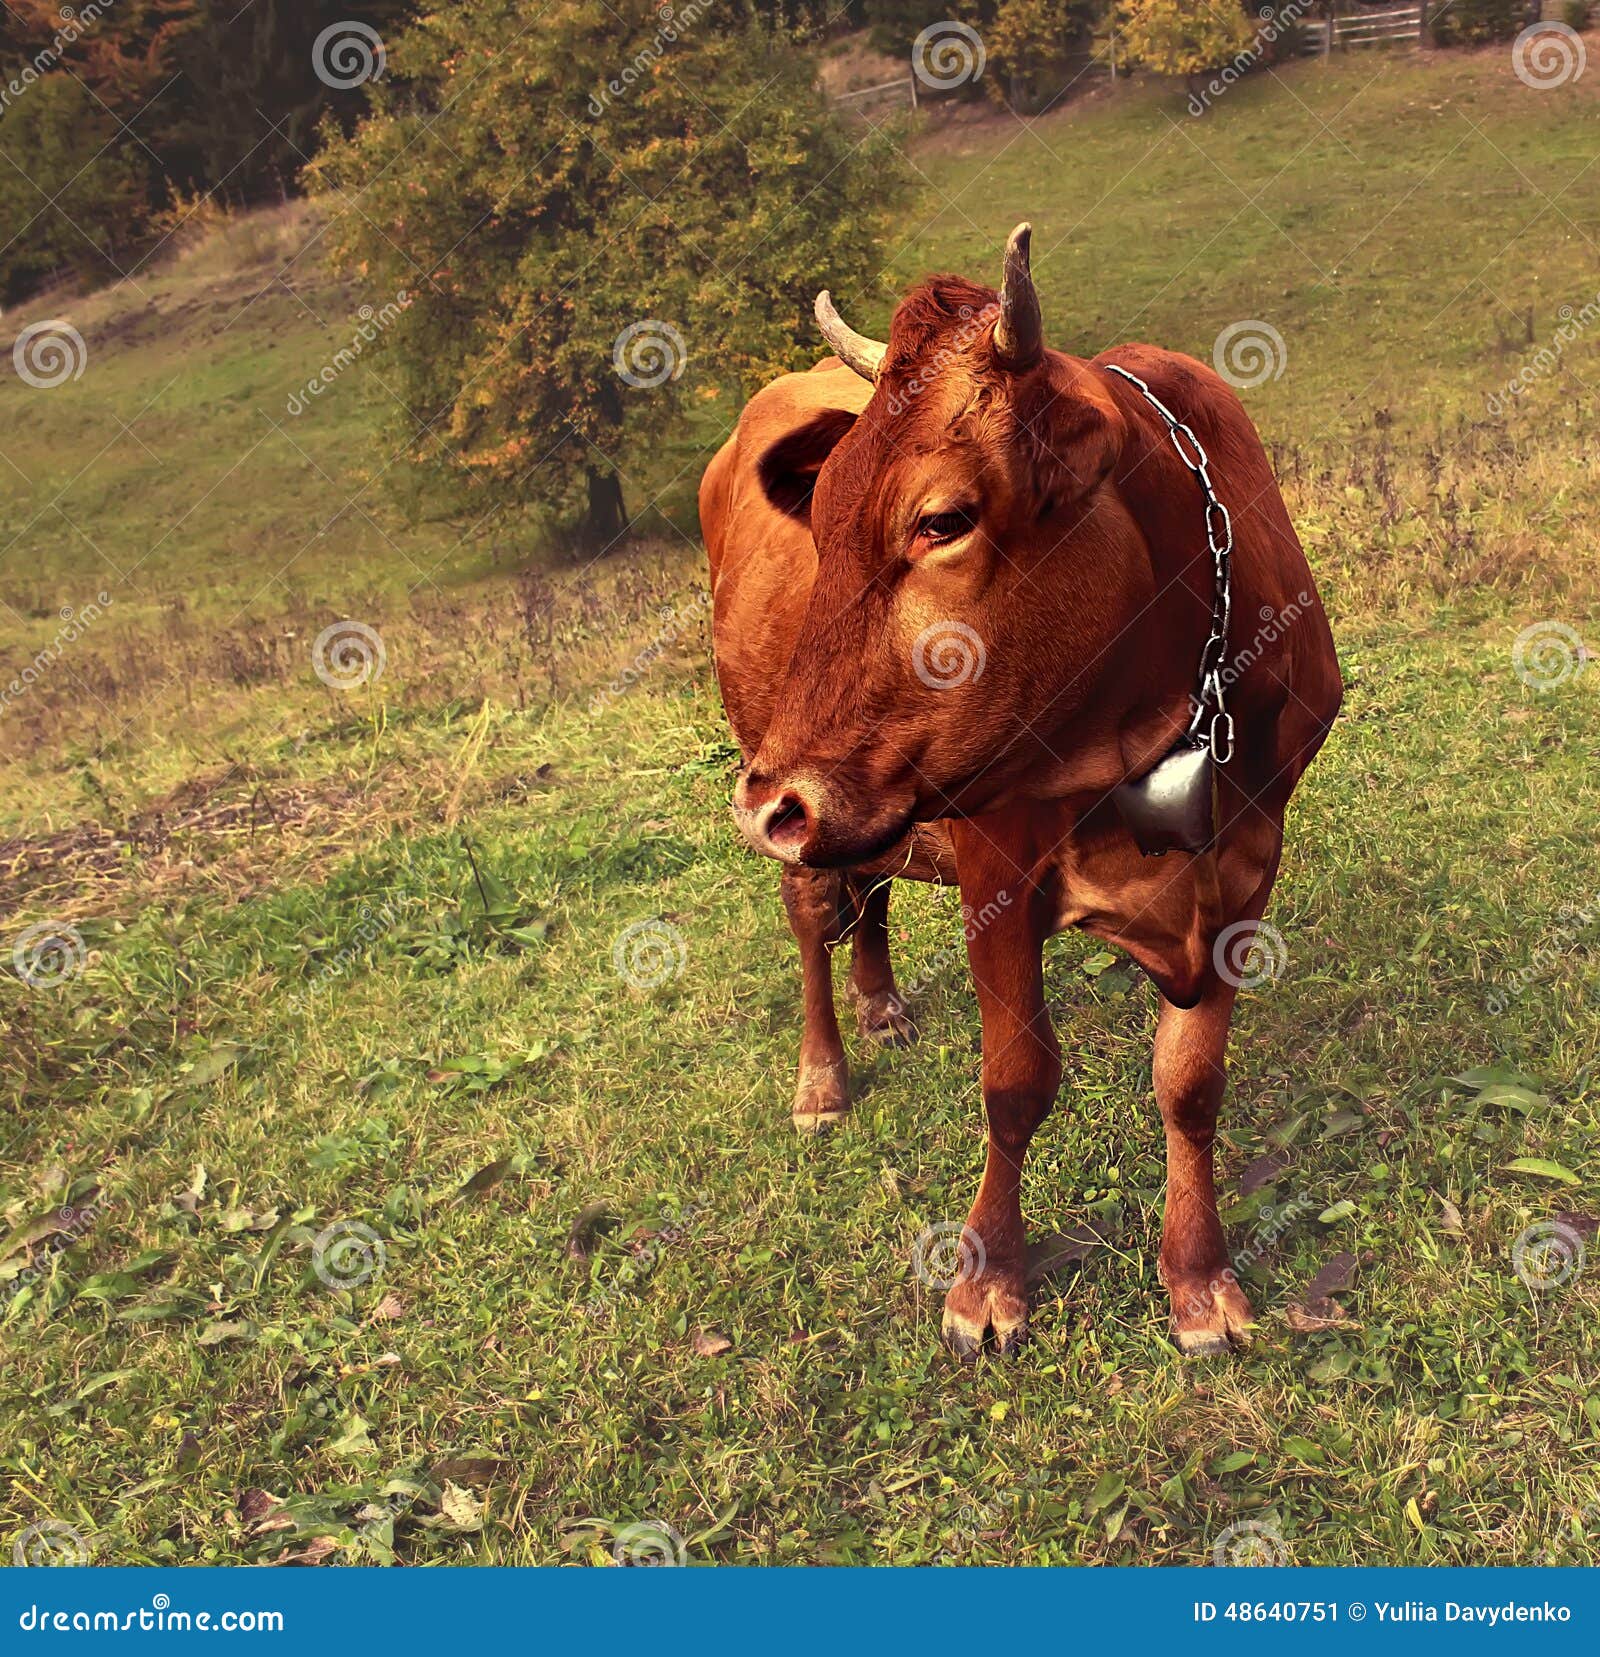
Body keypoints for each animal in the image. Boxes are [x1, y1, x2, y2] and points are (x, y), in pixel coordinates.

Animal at [699, 225, 1341, 1358]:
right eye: (820, 521)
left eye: (943, 519)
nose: (770, 803)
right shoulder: (996, 862)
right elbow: (1016, 1081)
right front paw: (988, 1279)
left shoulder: (1246, 866)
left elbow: (1192, 1083)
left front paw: (1198, 1278)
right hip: (782, 764)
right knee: (815, 910)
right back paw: (823, 1075)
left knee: (865, 885)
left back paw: (881, 1004)